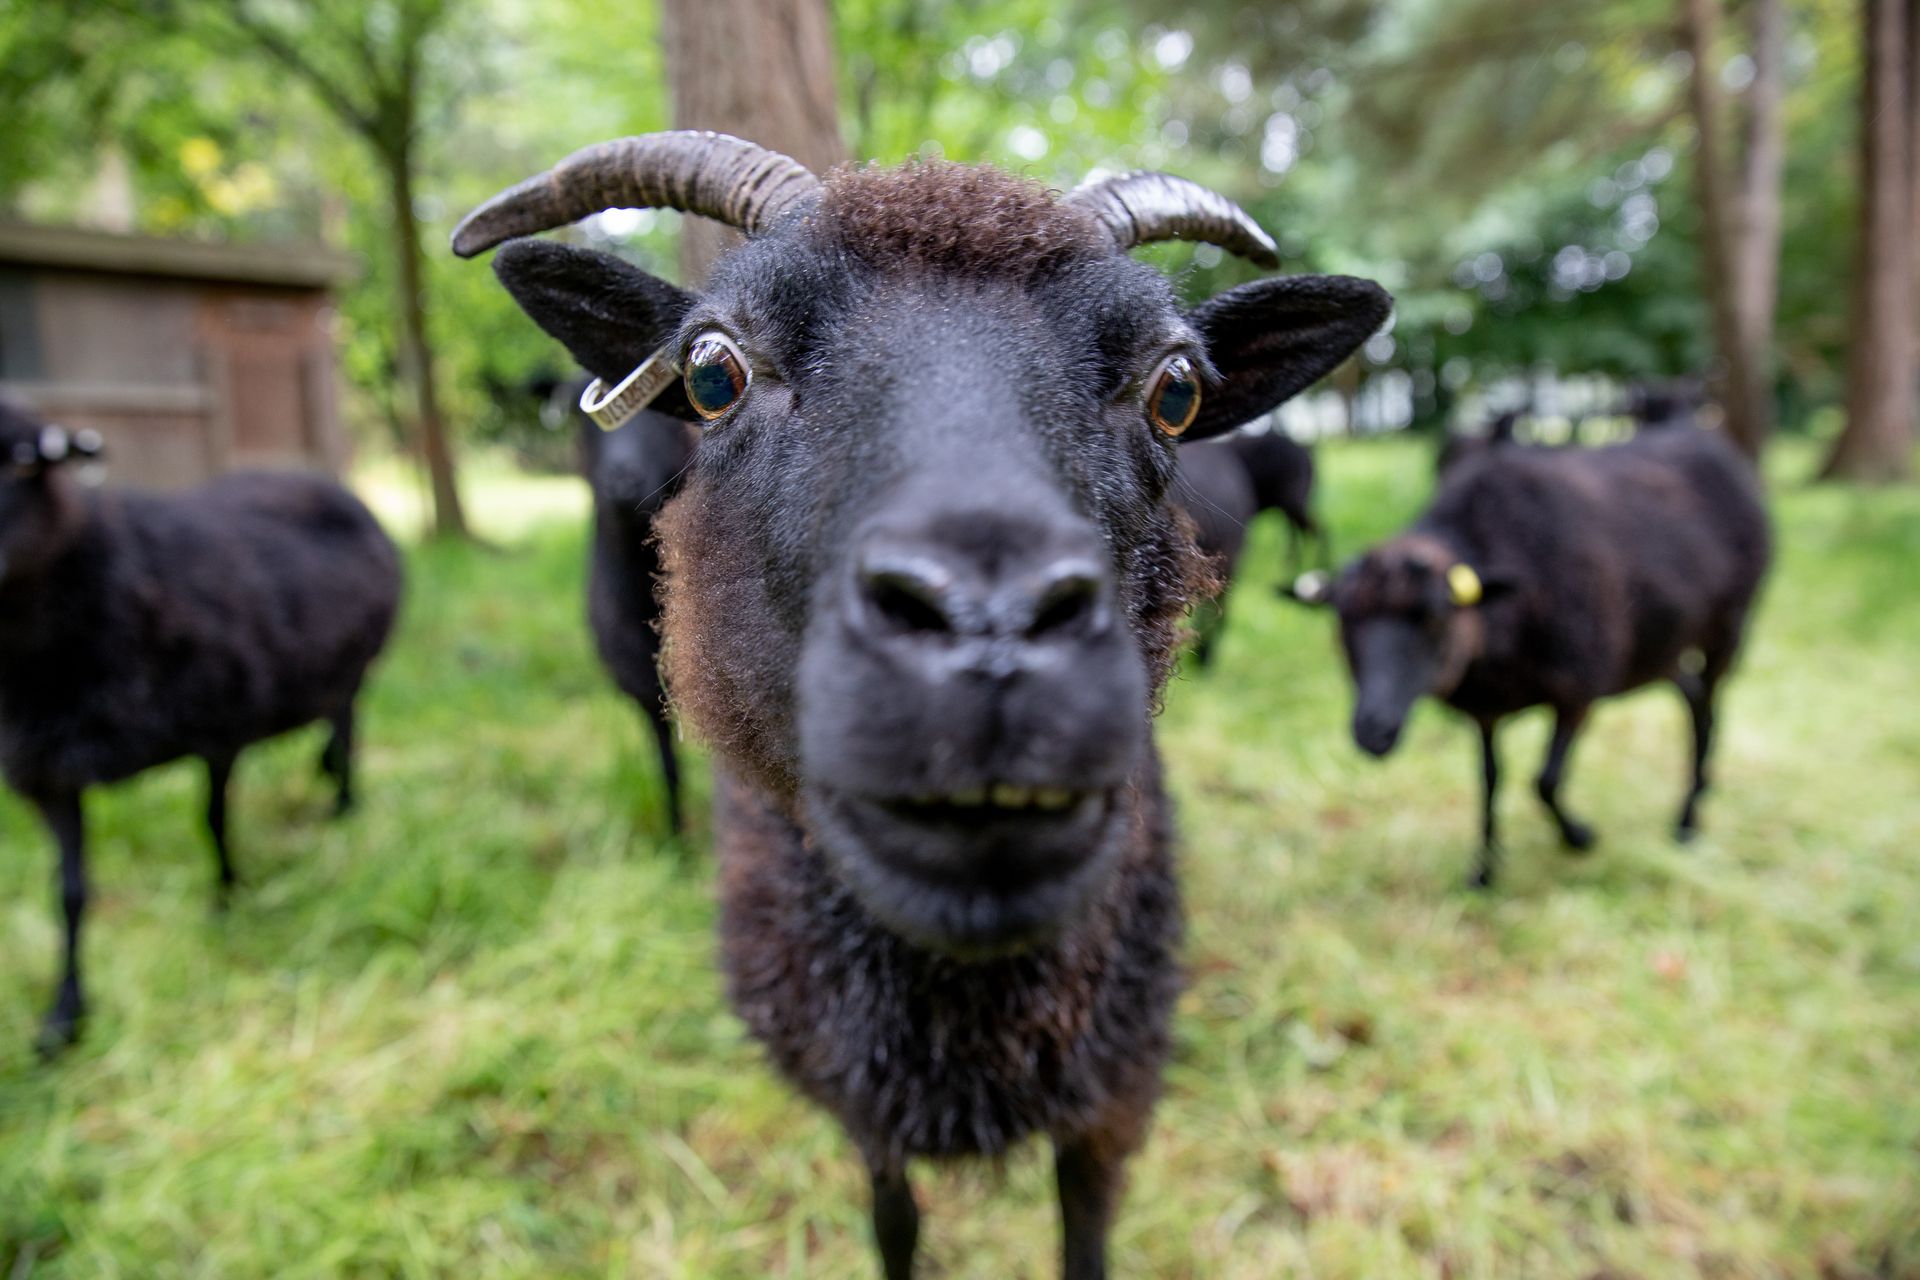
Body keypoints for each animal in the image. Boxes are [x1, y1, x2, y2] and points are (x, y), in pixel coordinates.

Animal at [0, 400, 402, 1056]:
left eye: (21, 464)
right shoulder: (47, 771)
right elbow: (69, 893)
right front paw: (64, 1016)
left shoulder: (221, 726)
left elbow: (212, 821)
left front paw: (226, 896)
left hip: (352, 666)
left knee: (346, 725)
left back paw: (343, 800)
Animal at [578, 404, 696, 833]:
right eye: (577, 419)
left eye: (663, 417)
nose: (622, 480)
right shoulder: (644, 693)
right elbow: (668, 769)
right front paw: (676, 834)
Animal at [1289, 424, 1769, 888]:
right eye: (1342, 620)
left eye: (1434, 615)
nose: (1373, 731)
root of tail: (1708, 438)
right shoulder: (1485, 707)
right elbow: (1489, 779)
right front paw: (1483, 871)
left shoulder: (1580, 686)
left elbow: (1545, 782)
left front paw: (1580, 837)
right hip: (1660, 648)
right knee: (1691, 697)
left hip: (1727, 627)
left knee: (1707, 714)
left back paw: (1688, 823)